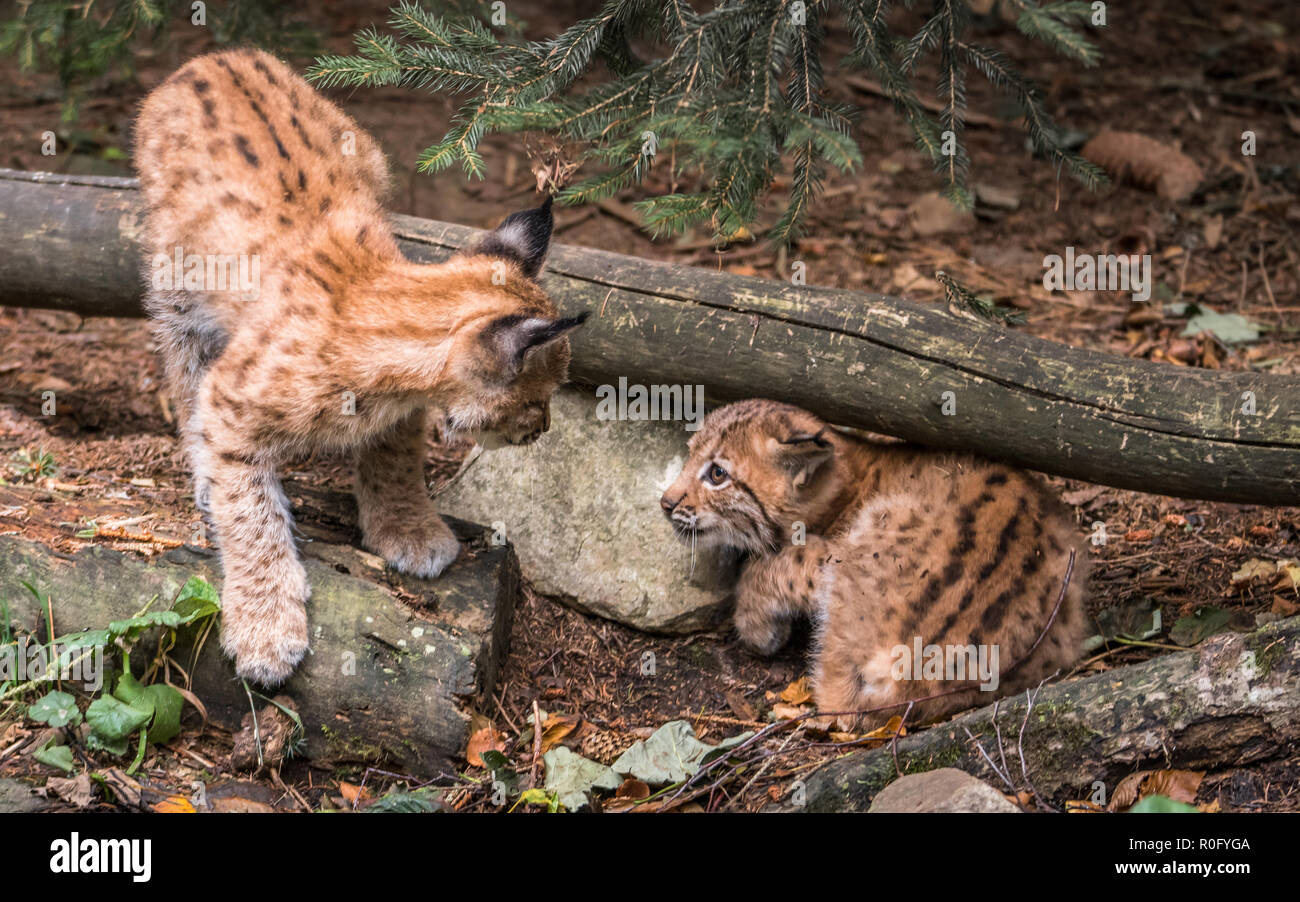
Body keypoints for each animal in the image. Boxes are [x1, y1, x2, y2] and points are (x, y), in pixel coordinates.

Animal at [133, 49, 585, 686]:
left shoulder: (403, 403)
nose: (542, 429)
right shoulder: (230, 397)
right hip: (176, 288)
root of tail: (219, 55)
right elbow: (248, 509)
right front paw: (265, 623)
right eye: (537, 400)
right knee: (183, 375)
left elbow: (394, 458)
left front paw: (407, 528)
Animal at [660, 400, 1086, 722]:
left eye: (718, 474)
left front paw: (757, 628)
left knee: (838, 707)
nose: (665, 503)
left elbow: (770, 566)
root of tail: (915, 677)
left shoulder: (826, 553)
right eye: (690, 453)